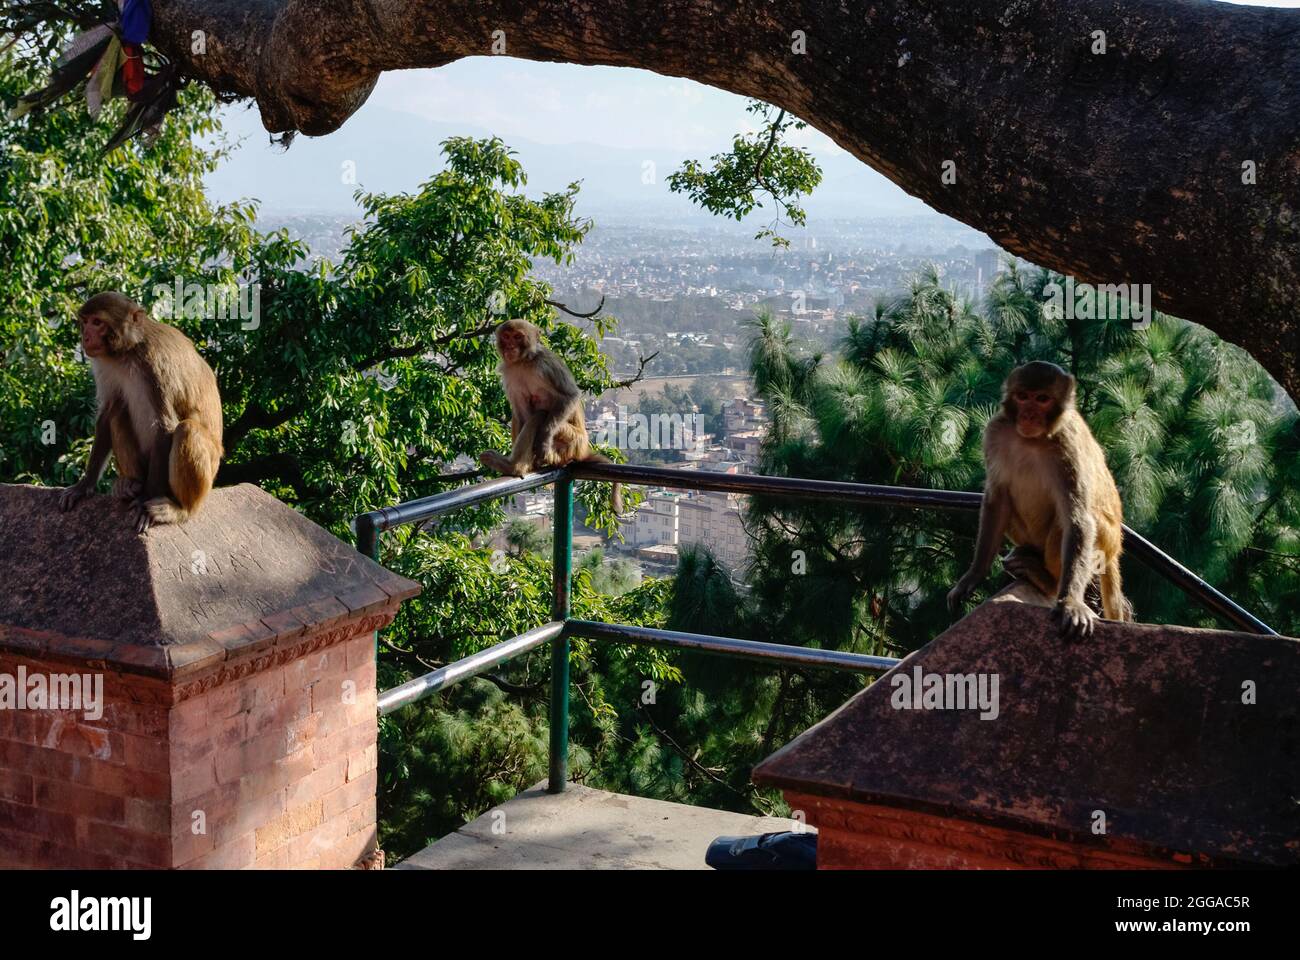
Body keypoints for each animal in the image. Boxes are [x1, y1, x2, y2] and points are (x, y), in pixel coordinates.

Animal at [59, 292, 224, 533]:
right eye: (85, 321)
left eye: (97, 323)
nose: (86, 337)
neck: (127, 352)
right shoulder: (104, 364)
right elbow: (107, 413)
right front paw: (85, 485)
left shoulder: (154, 363)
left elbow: (165, 426)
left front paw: (146, 500)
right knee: (119, 410)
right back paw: (131, 483)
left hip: (209, 474)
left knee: (187, 429)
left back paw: (179, 509)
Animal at [479, 318, 623, 514]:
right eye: (506, 337)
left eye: (518, 337)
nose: (510, 347)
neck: (523, 362)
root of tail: (582, 449)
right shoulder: (510, 374)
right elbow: (521, 411)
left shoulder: (546, 364)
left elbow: (569, 396)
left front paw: (544, 440)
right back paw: (524, 464)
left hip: (571, 442)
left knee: (540, 417)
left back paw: (513, 466)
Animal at [947, 360, 1132, 639]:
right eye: (1023, 397)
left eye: (1042, 399)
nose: (1029, 416)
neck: (1032, 440)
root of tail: (1116, 549)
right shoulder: (995, 432)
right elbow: (997, 499)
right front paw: (973, 575)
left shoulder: (1068, 447)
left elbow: (1077, 520)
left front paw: (1070, 603)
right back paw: (1029, 557)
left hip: (1105, 540)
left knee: (1067, 526)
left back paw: (1050, 583)